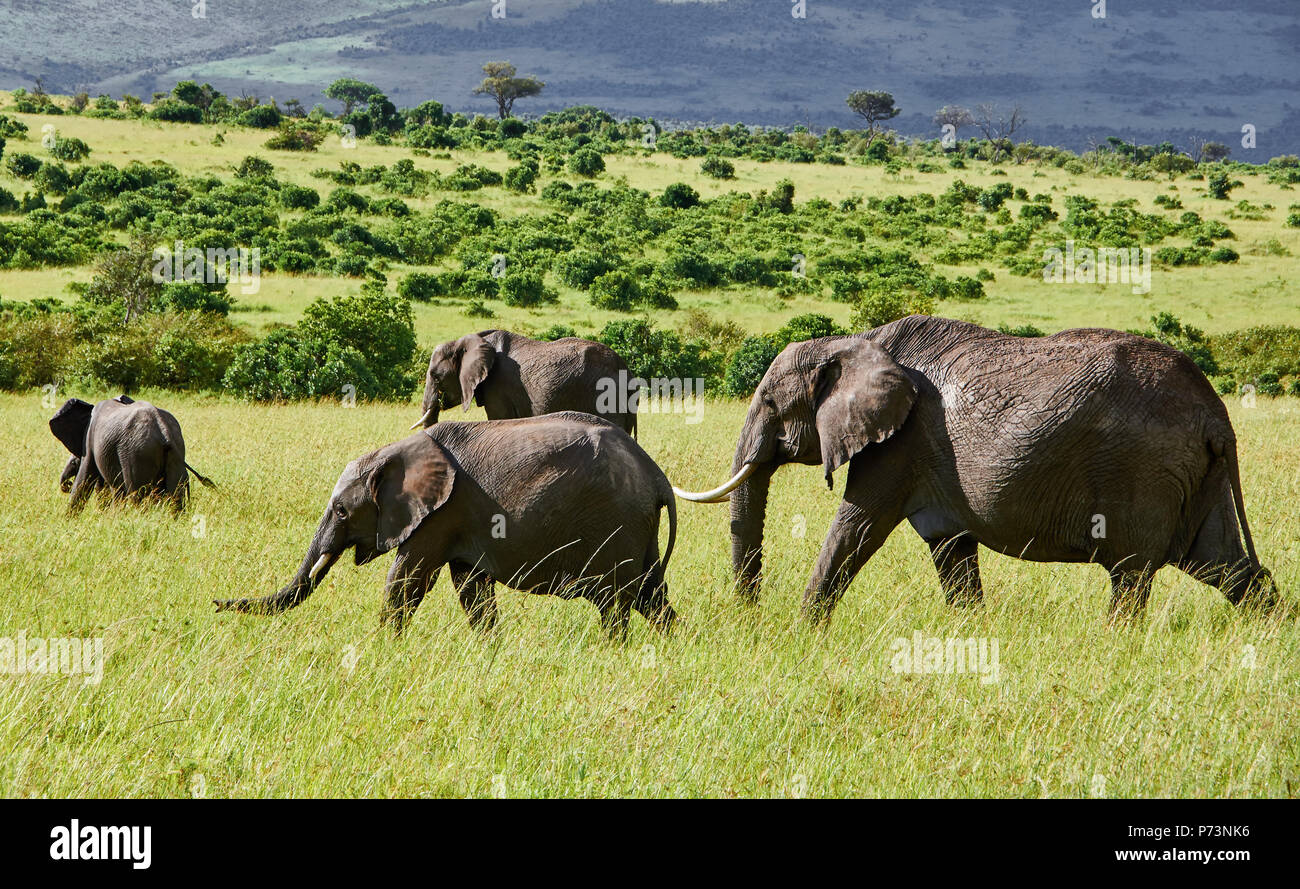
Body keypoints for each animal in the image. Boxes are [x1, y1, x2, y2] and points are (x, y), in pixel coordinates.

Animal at [50, 396, 214, 513]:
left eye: (74, 462)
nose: (66, 485)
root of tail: (164, 431)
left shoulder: (89, 439)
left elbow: (84, 480)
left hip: (137, 454)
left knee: (138, 496)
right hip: (175, 452)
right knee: (175, 499)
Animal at [216, 412, 677, 639]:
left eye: (342, 512)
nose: (215, 604)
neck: (394, 450)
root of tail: (657, 476)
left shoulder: (440, 514)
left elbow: (406, 581)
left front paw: (382, 649)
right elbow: (470, 589)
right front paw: (489, 651)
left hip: (616, 524)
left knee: (615, 602)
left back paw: (613, 652)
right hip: (638, 530)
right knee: (651, 595)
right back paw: (673, 648)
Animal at [674, 315, 1278, 624]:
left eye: (770, 403)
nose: (750, 615)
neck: (853, 341)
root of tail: (1215, 414)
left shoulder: (899, 445)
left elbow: (856, 526)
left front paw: (802, 632)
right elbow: (951, 550)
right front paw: (971, 635)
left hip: (1143, 471)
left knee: (1131, 574)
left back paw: (1117, 643)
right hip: (1196, 474)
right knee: (1227, 566)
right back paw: (1268, 632)